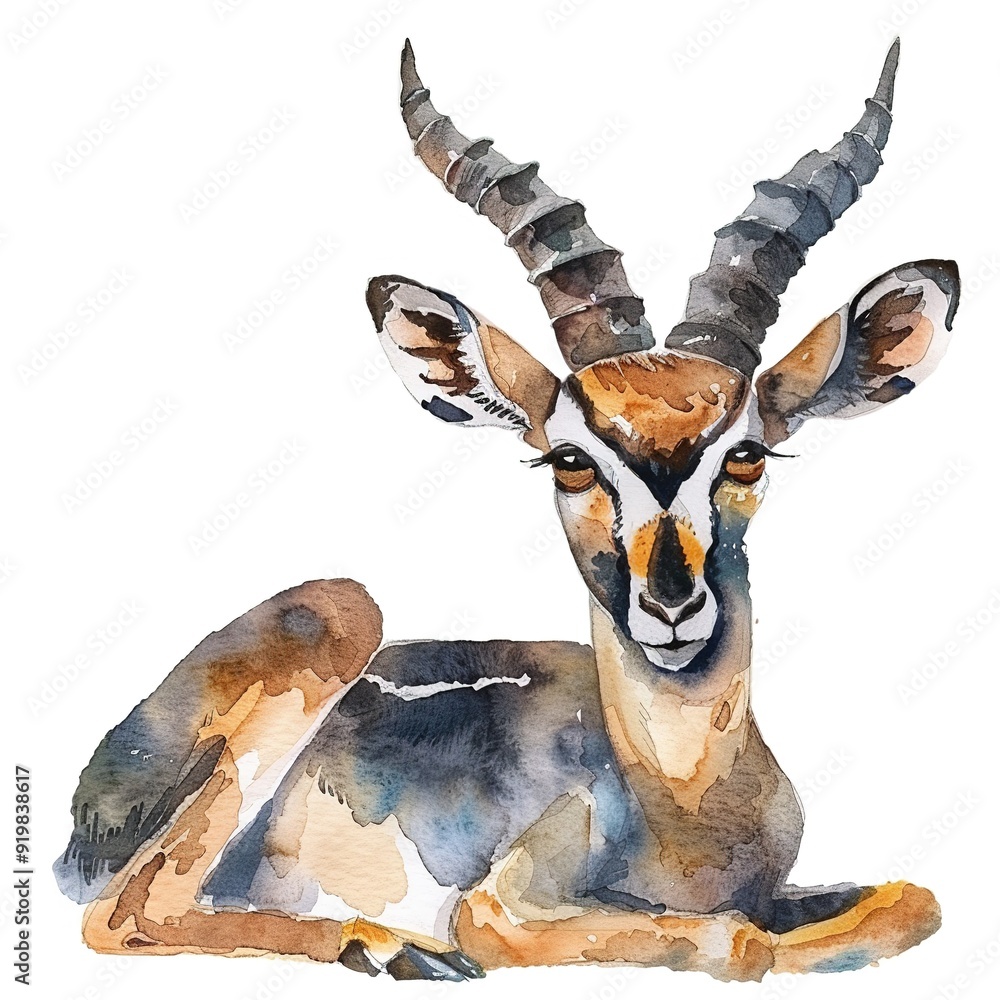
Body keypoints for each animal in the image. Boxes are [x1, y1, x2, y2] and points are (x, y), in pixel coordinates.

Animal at [55, 38, 960, 982]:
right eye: (569, 458)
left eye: (746, 451)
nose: (672, 606)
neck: (686, 810)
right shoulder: (504, 903)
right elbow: (731, 939)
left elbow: (912, 901)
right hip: (338, 626)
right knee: (125, 912)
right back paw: (383, 945)